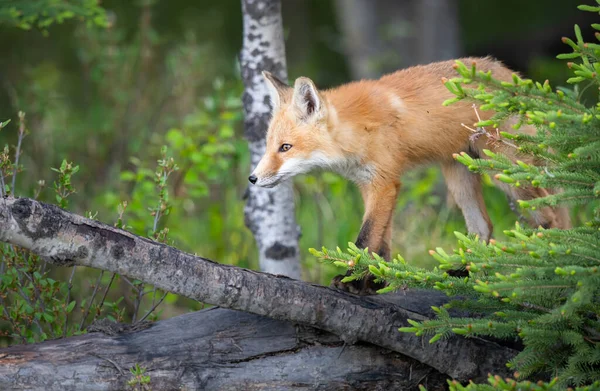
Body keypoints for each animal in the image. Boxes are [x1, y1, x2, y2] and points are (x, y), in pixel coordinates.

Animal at [248, 58, 572, 290]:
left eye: (285, 148)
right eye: (269, 146)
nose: (253, 178)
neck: (356, 132)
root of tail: (512, 76)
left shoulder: (384, 182)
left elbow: (367, 238)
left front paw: (353, 279)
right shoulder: (372, 185)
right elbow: (383, 241)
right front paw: (375, 281)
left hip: (504, 172)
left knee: (549, 216)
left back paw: (546, 261)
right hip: (459, 174)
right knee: (483, 226)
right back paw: (463, 272)